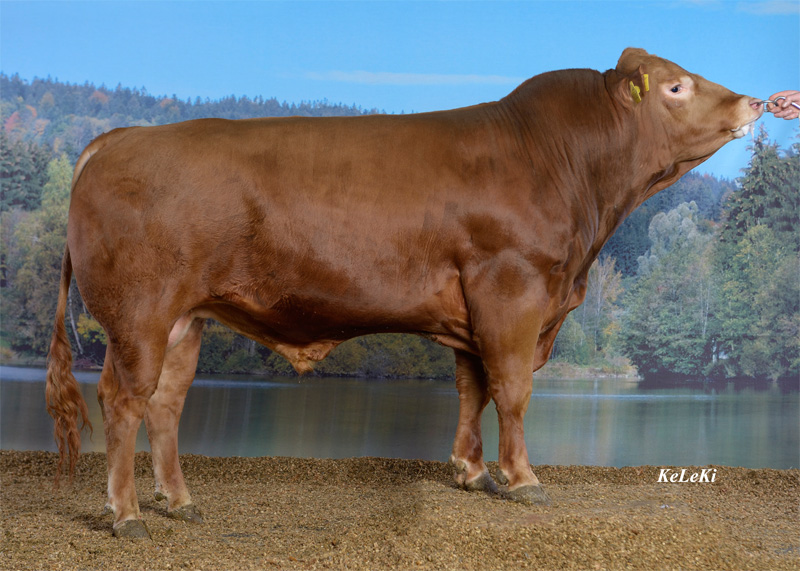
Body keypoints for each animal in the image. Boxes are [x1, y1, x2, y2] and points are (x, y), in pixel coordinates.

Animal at [46, 48, 762, 538]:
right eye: (676, 85)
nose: (753, 103)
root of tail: (117, 139)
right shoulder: (512, 287)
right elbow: (512, 387)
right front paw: (523, 479)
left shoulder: (475, 309)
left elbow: (473, 388)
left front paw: (471, 473)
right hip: (139, 312)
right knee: (122, 399)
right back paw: (128, 515)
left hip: (184, 318)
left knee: (164, 402)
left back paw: (180, 502)